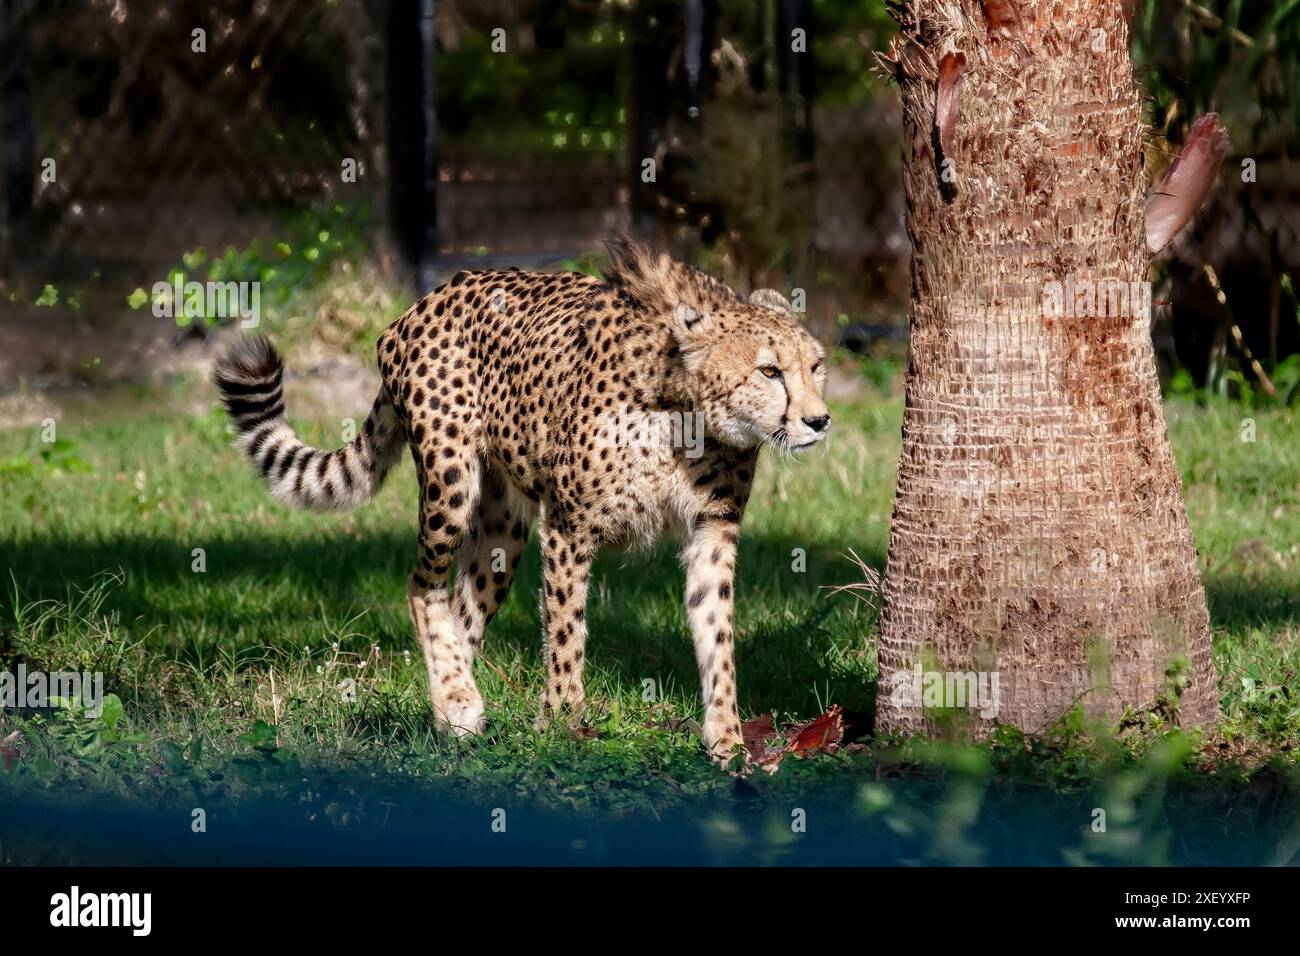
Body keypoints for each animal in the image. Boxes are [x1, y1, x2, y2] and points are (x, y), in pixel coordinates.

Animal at [212, 237, 830, 764]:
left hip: (502, 529)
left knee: (462, 607)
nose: (820, 420)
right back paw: (458, 700)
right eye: (769, 371)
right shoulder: (570, 524)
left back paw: (453, 706)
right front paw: (561, 724)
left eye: (816, 366)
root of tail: (422, 303)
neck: (687, 410)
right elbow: (565, 630)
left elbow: (716, 632)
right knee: (422, 582)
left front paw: (727, 739)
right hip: (450, 477)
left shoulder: (711, 529)